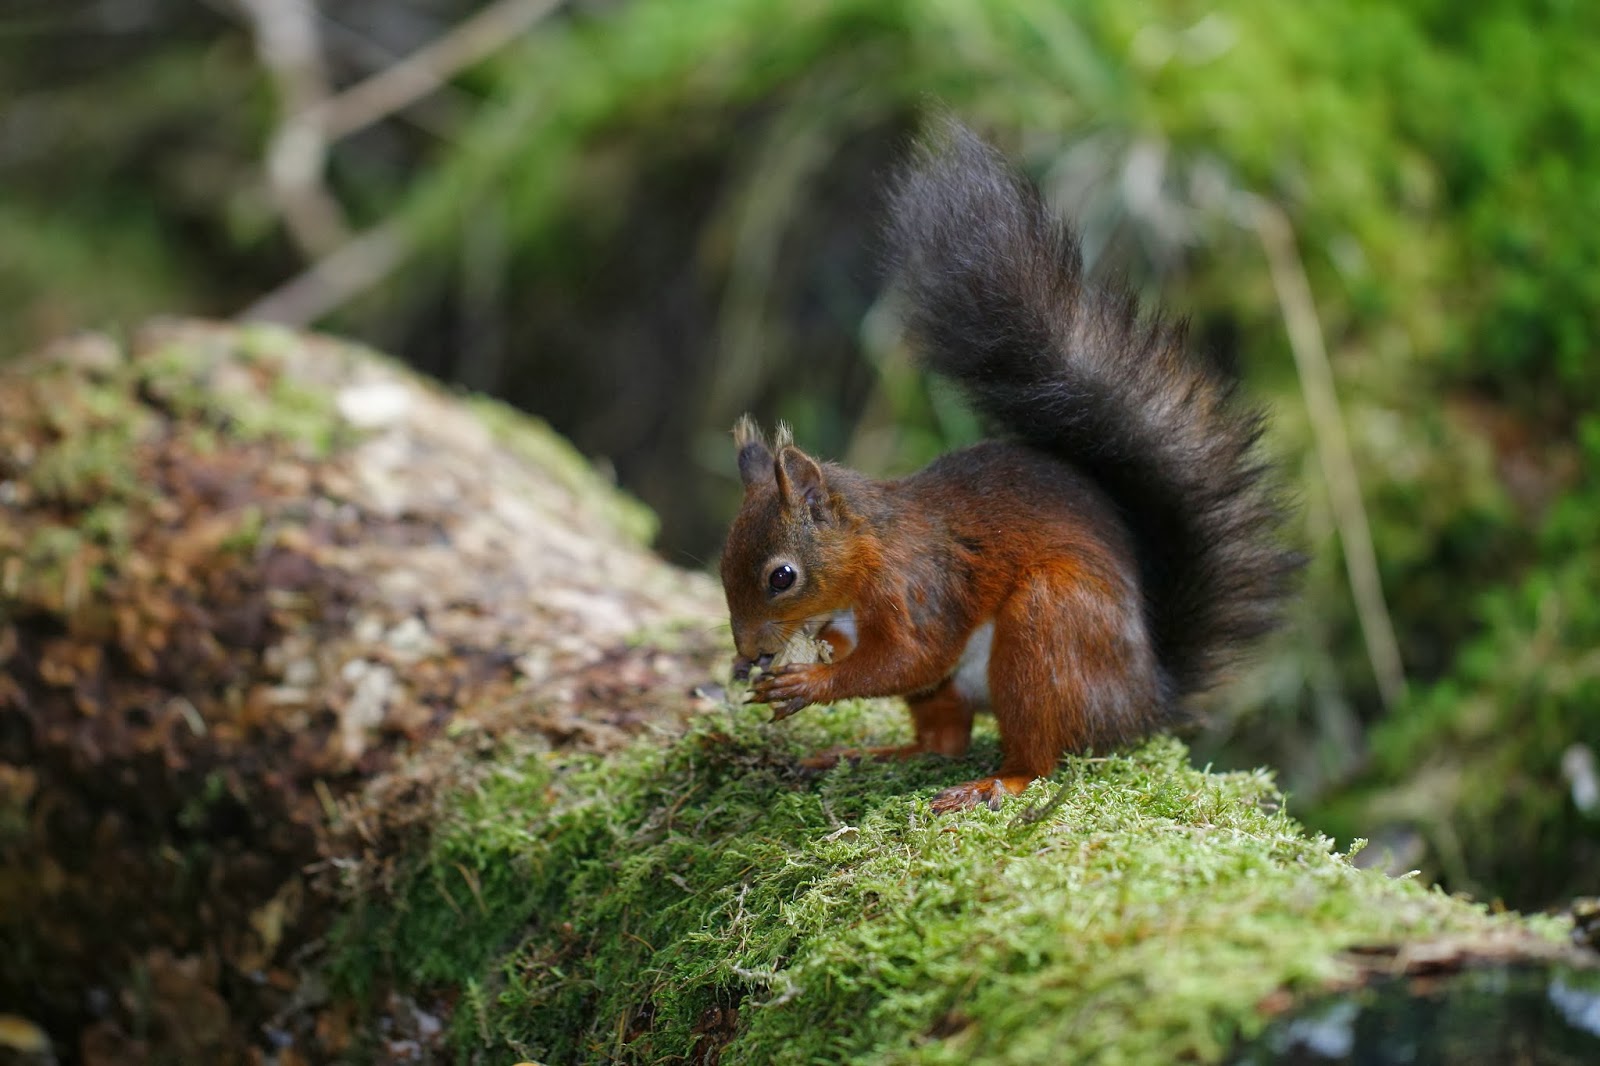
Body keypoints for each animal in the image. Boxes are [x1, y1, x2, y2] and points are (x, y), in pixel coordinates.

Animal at [720, 120, 1303, 812]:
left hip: (1048, 626)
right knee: (943, 738)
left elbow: (912, 656)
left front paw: (810, 681)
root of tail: (1143, 705)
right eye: (722, 563)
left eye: (782, 577)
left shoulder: (922, 585)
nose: (748, 650)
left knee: (1039, 755)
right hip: (972, 683)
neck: (870, 551)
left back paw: (997, 781)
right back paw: (872, 753)